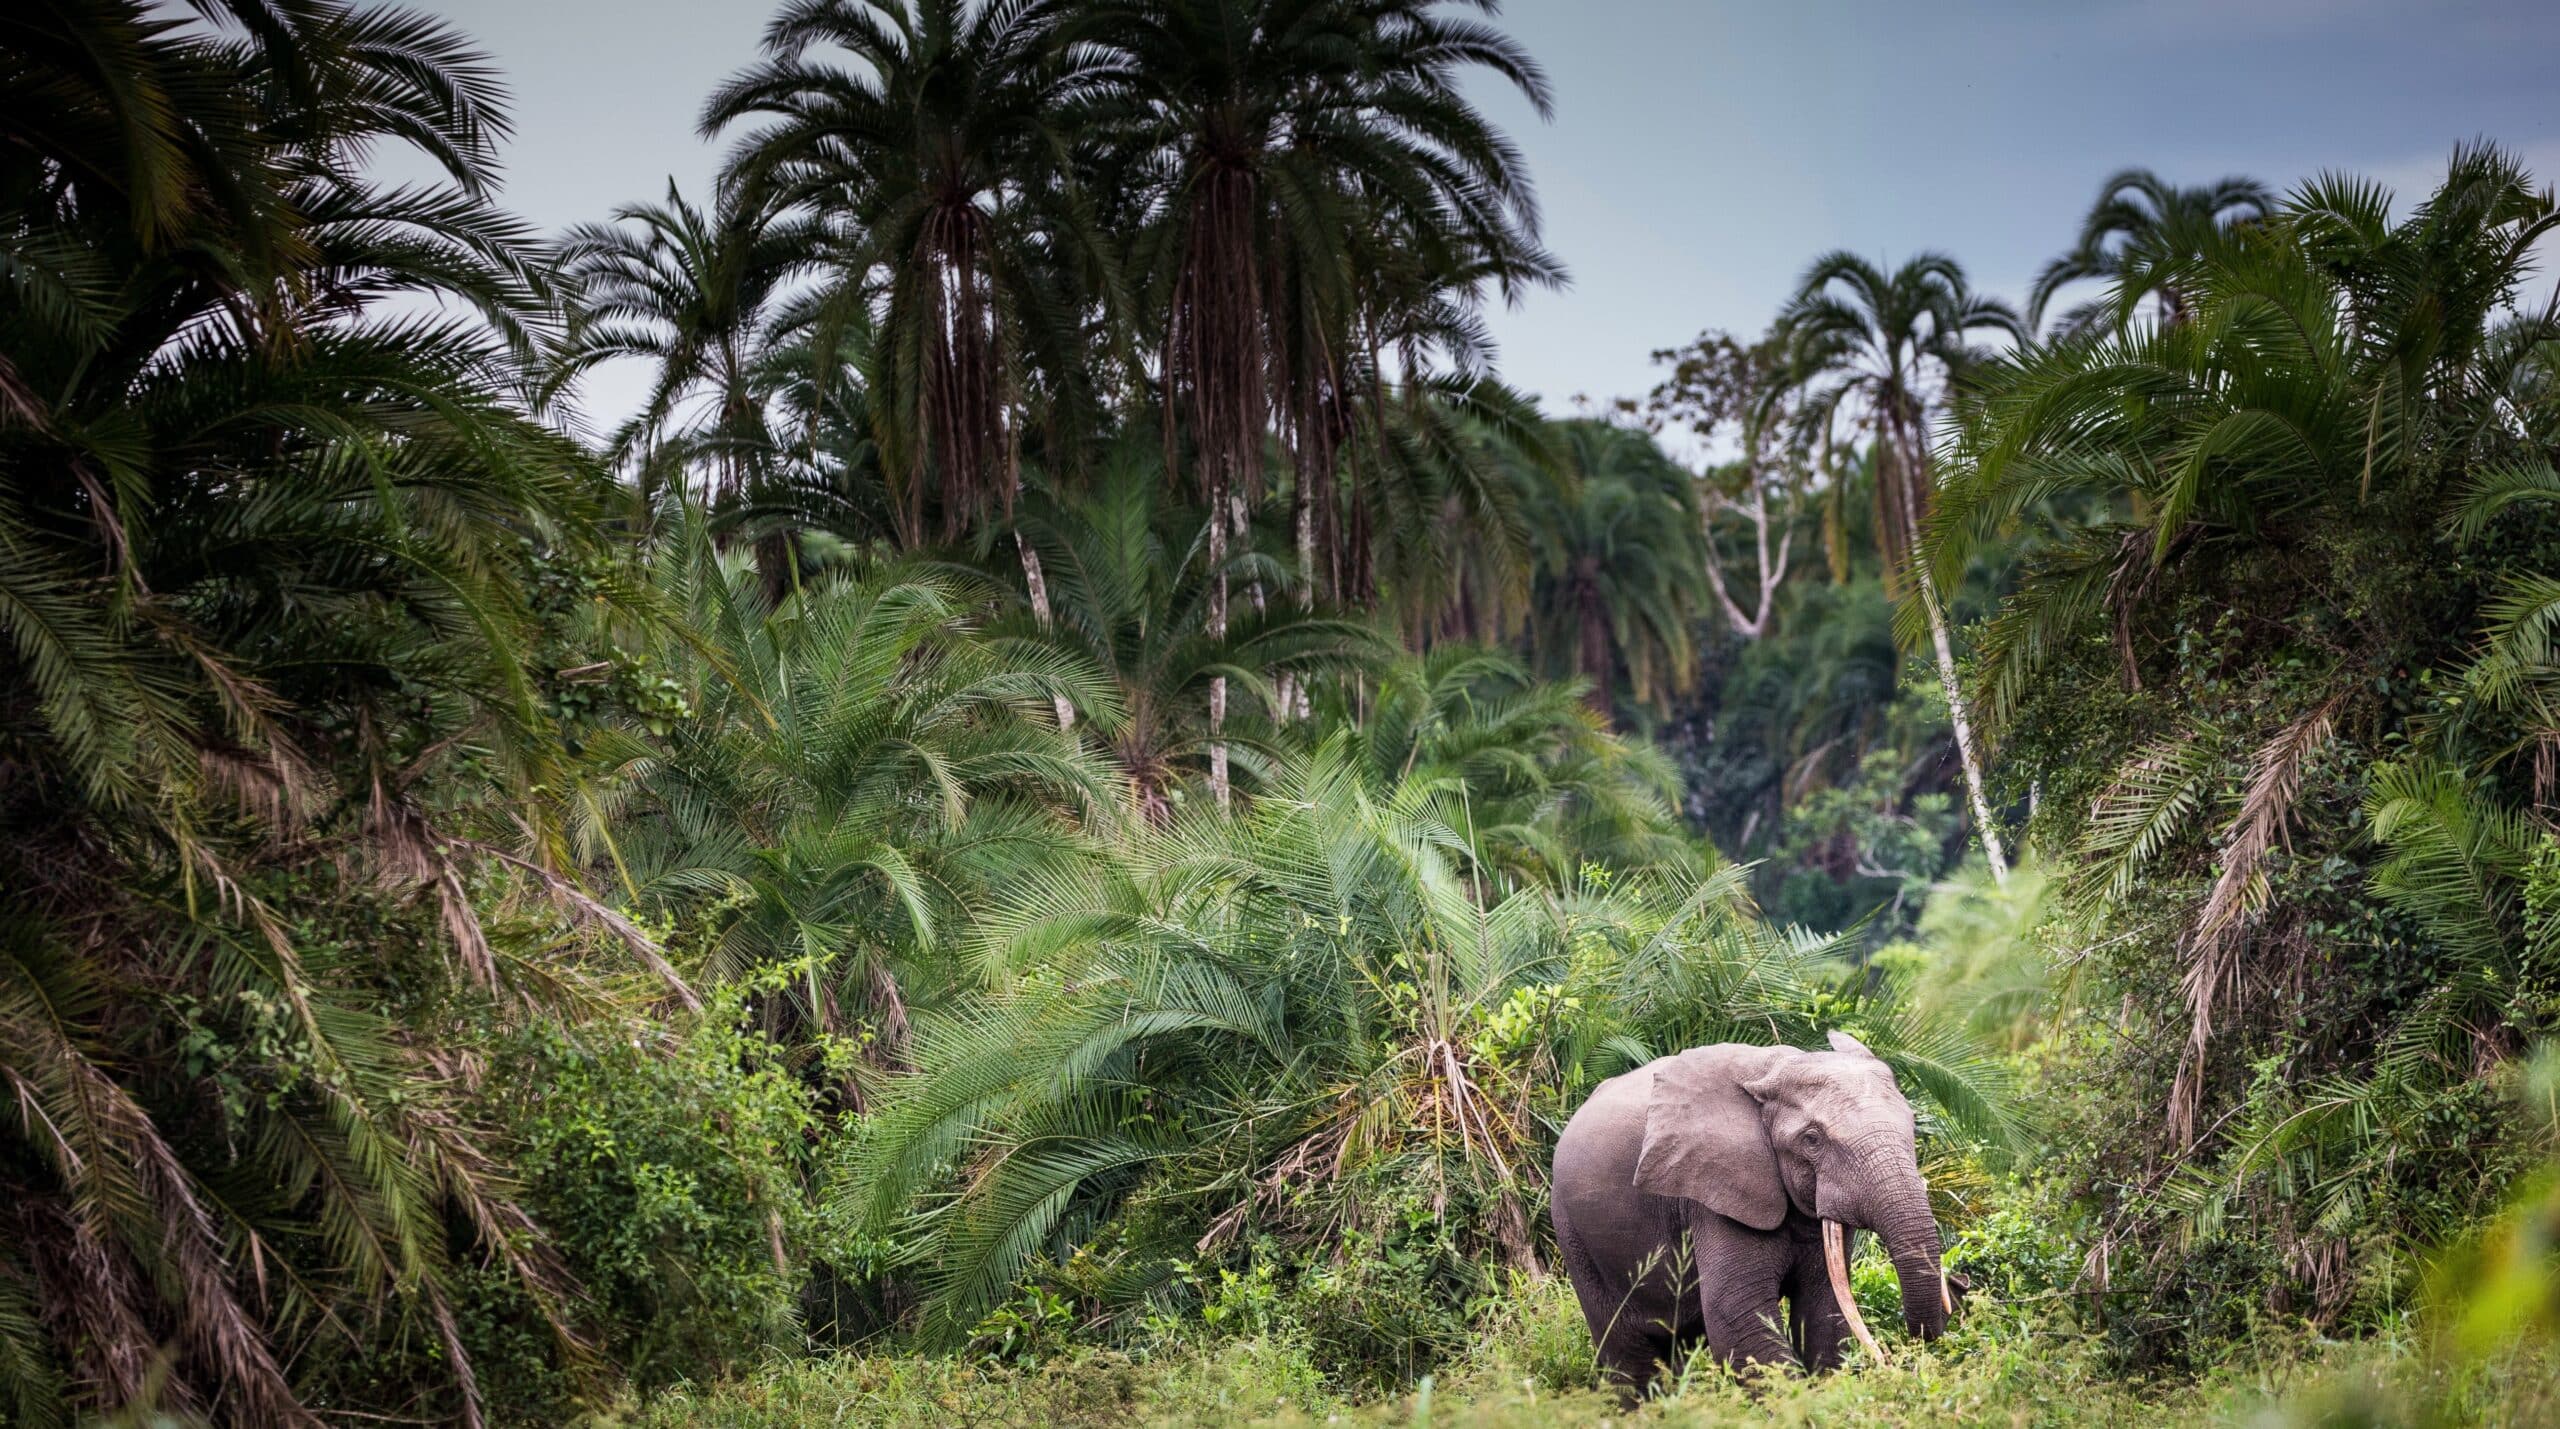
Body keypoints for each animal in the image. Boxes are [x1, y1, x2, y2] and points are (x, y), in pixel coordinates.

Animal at [1548, 1031, 1951, 1392]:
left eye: (1912, 1127)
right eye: (1812, 1140)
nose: (1908, 1349)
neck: (1774, 1069)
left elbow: (1823, 1311)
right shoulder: (1713, 1192)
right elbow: (1737, 1314)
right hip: (1573, 1233)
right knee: (1628, 1355)